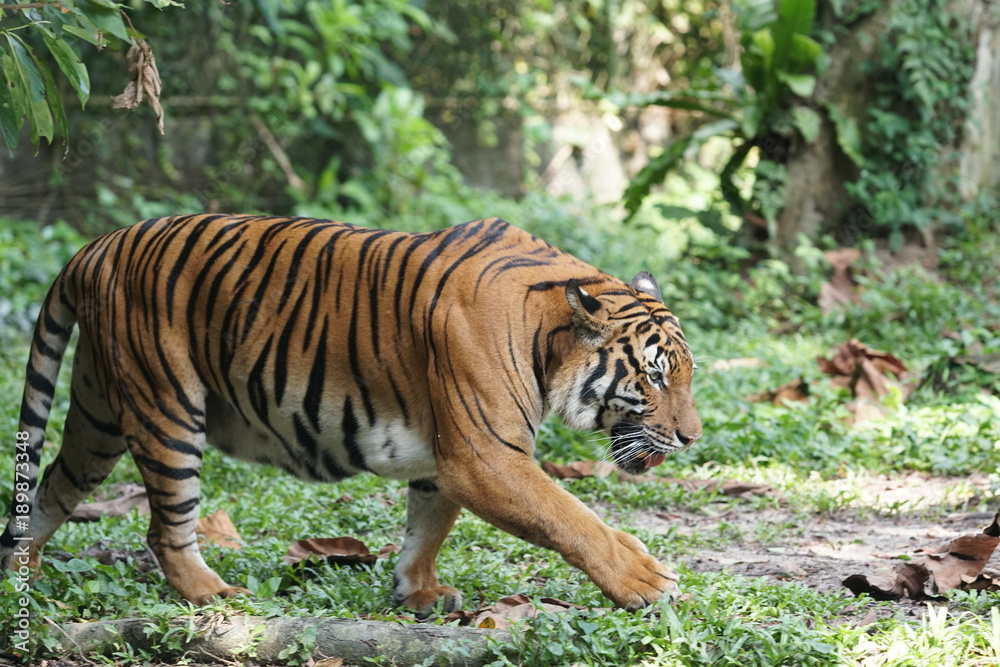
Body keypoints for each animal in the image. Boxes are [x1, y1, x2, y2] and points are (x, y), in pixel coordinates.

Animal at [1, 214, 701, 616]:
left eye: (687, 375)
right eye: (655, 376)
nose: (693, 439)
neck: (547, 334)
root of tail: (95, 246)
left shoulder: (445, 458)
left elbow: (427, 526)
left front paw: (417, 592)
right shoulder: (485, 456)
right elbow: (573, 520)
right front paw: (646, 580)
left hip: (99, 416)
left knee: (51, 490)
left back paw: (19, 583)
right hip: (167, 408)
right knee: (164, 527)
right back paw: (215, 596)